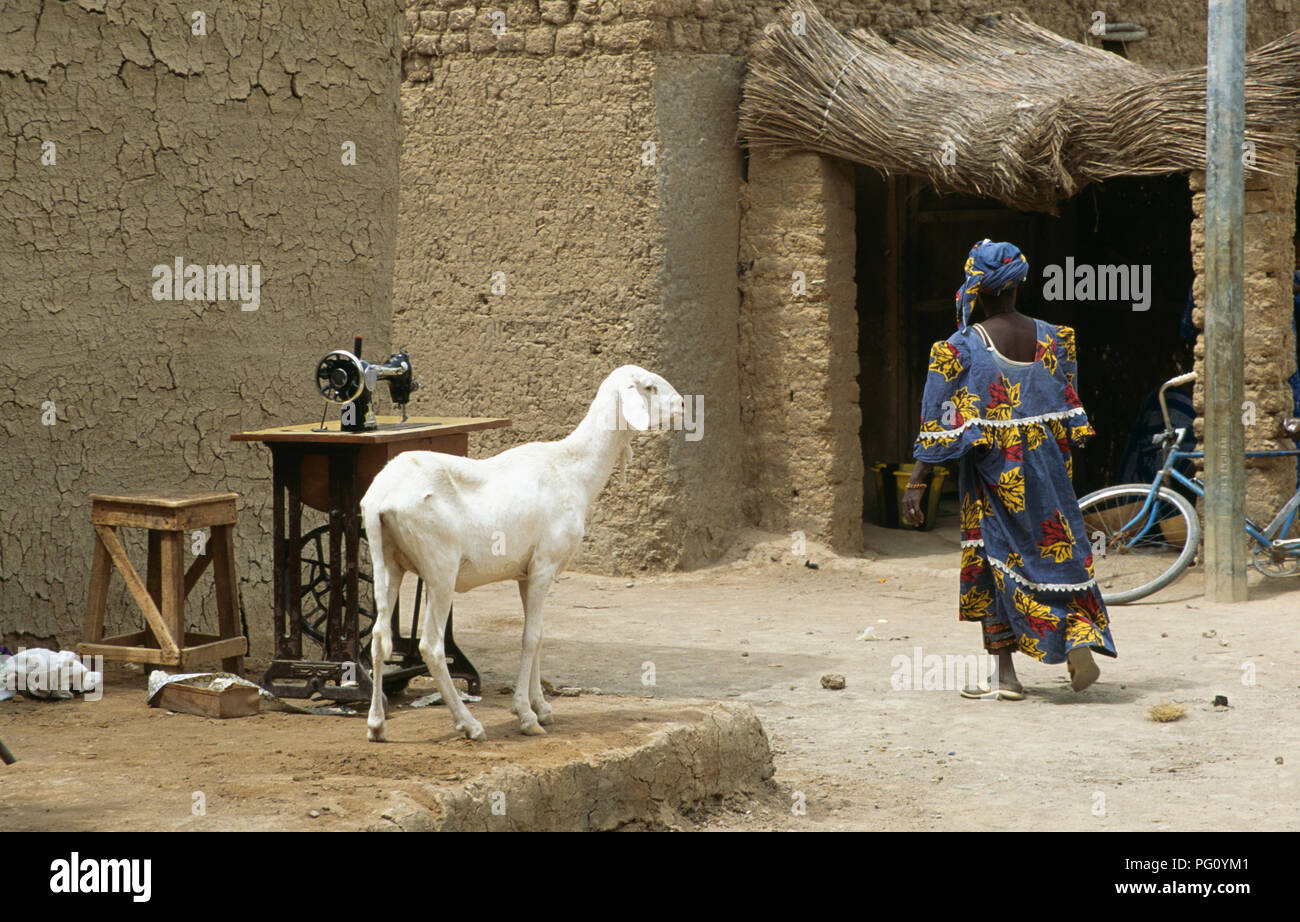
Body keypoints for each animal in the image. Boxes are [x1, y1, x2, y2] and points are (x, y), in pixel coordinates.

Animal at [361, 365, 685, 741]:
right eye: (649, 387)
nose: (683, 406)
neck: (573, 469)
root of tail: (380, 498)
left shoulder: (526, 573)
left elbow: (540, 634)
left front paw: (542, 707)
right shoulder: (545, 564)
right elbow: (531, 637)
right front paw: (526, 715)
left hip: (389, 561)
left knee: (378, 638)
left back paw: (376, 725)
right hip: (440, 568)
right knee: (430, 646)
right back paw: (469, 724)